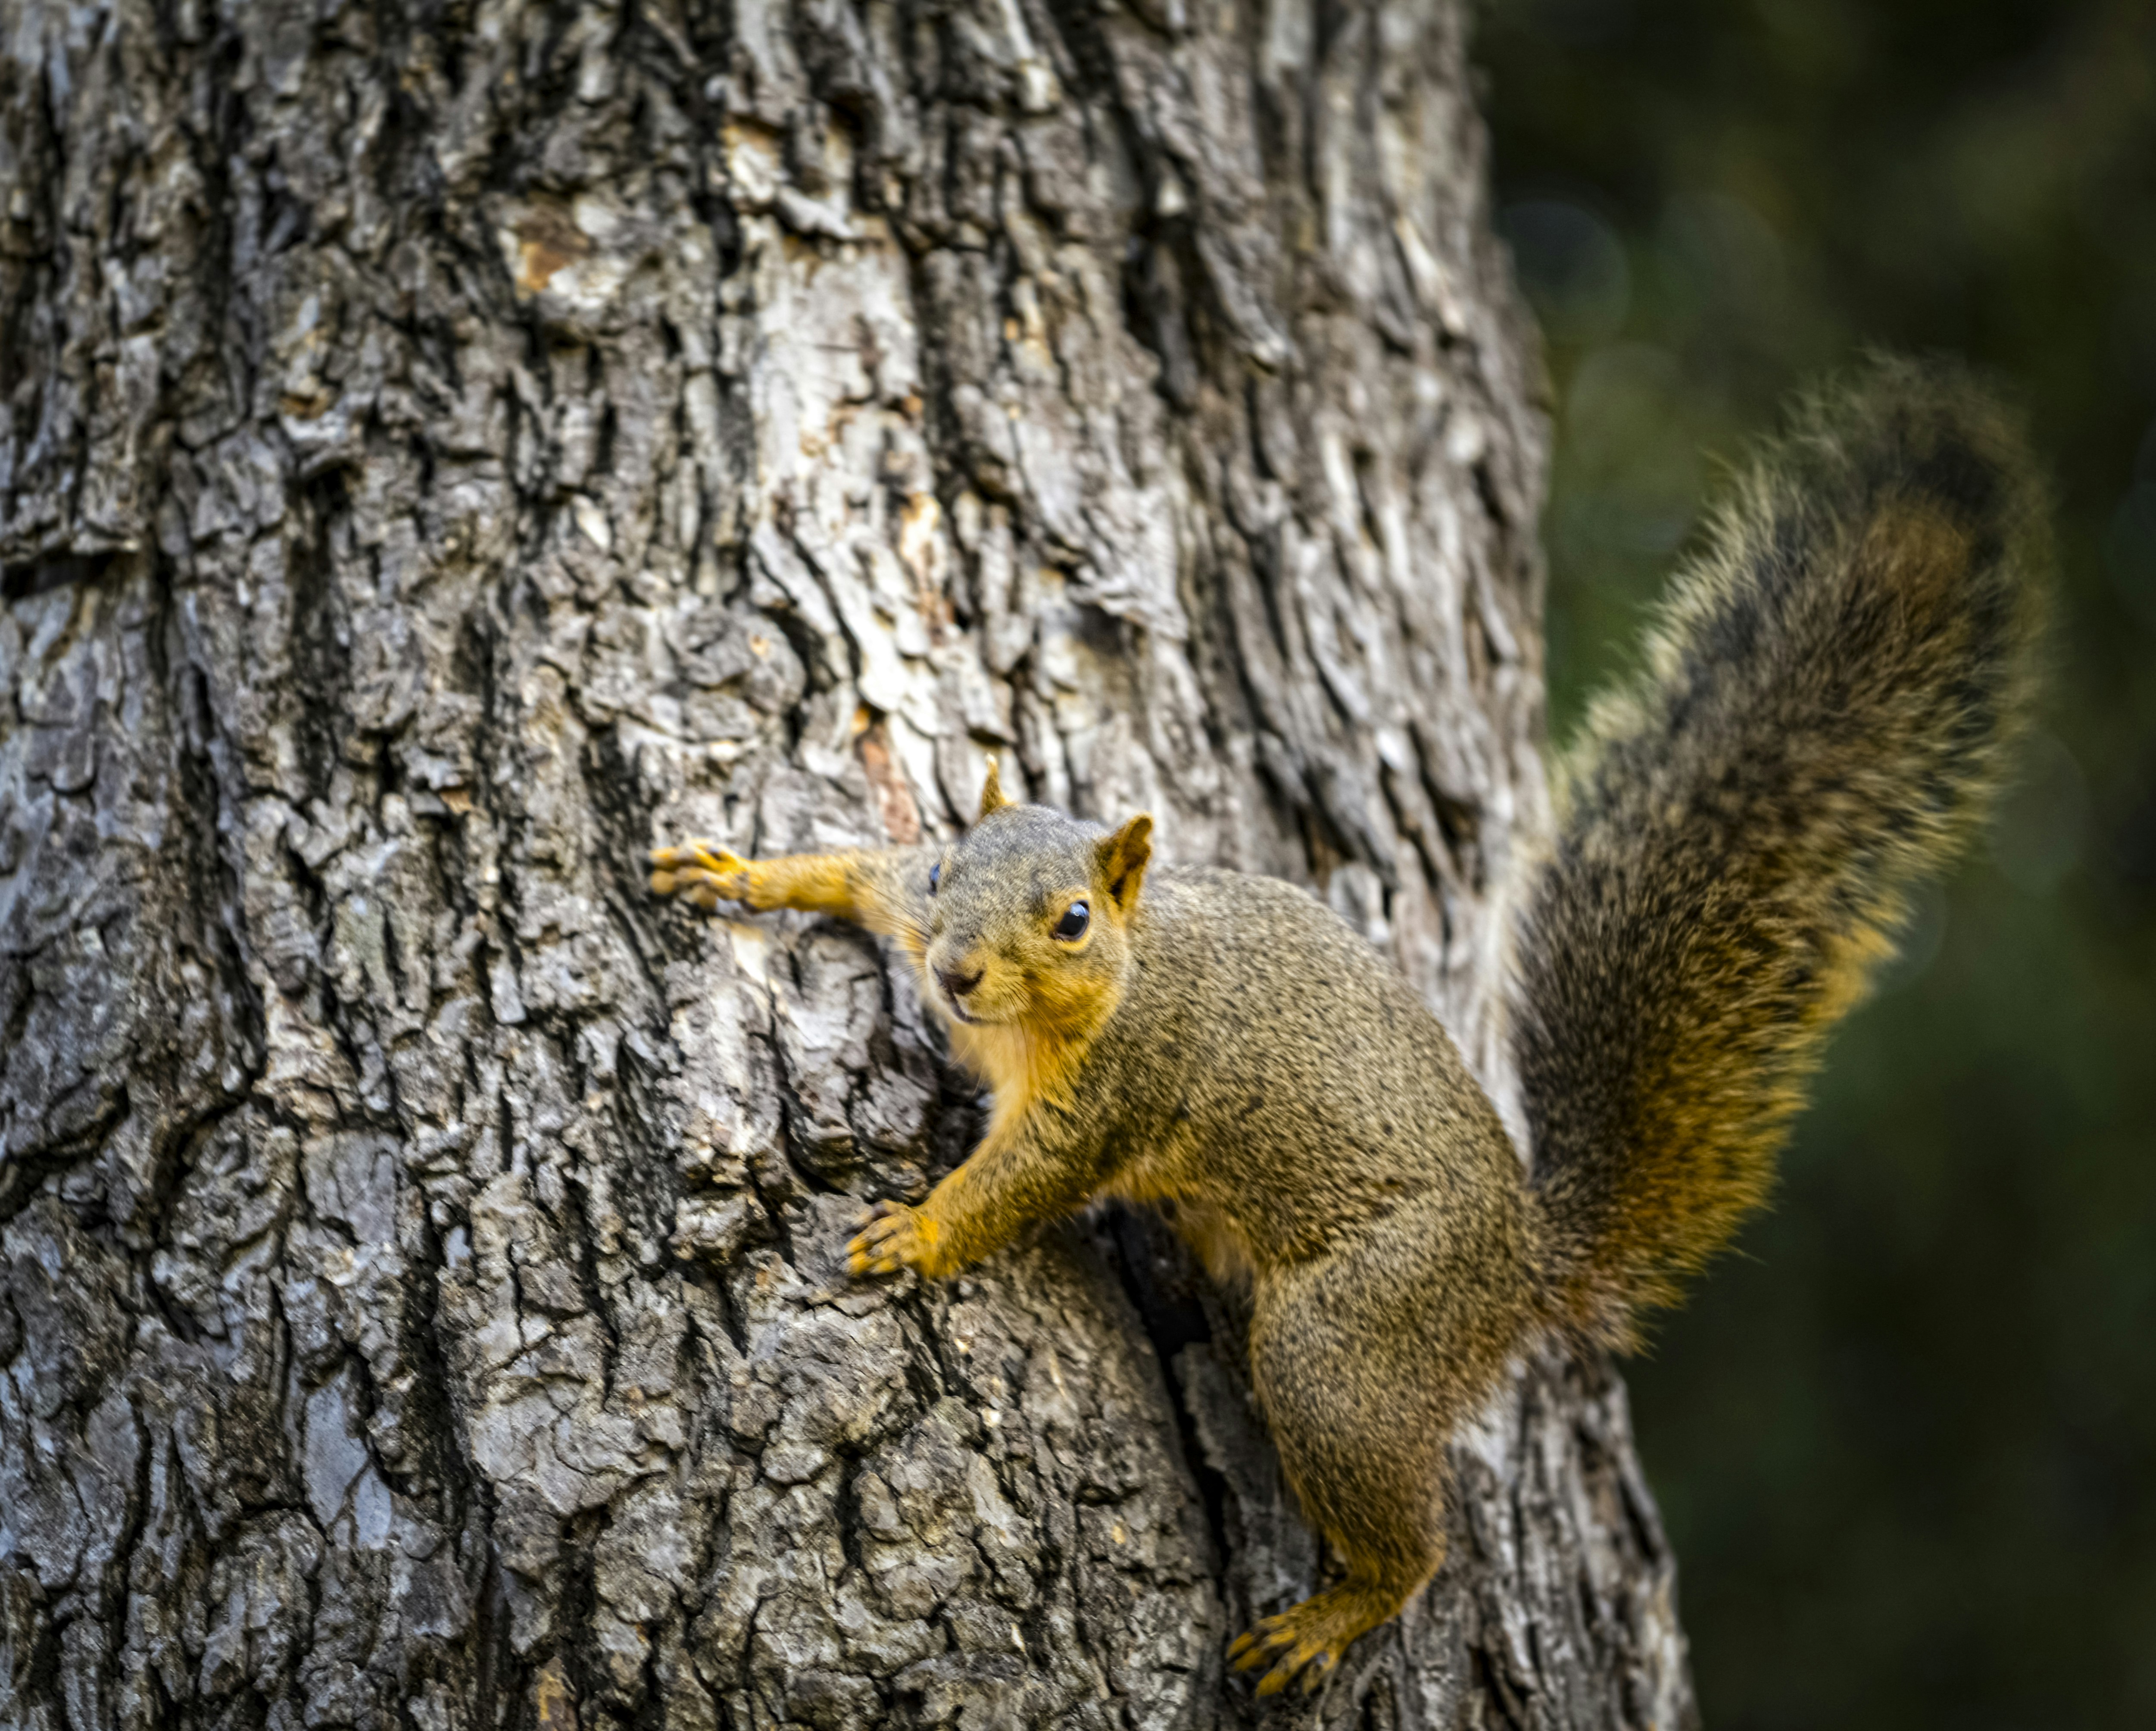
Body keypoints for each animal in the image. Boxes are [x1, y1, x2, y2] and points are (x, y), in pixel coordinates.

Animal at [648, 357, 2050, 1695]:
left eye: (1070, 921)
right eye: (949, 866)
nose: (951, 977)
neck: (1089, 992)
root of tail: (1518, 1268)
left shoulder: (1117, 1092)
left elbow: (1026, 1179)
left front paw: (920, 1228)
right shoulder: (919, 916)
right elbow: (857, 875)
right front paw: (743, 874)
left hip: (1351, 1330)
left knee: (1406, 1526)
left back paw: (1337, 1611)